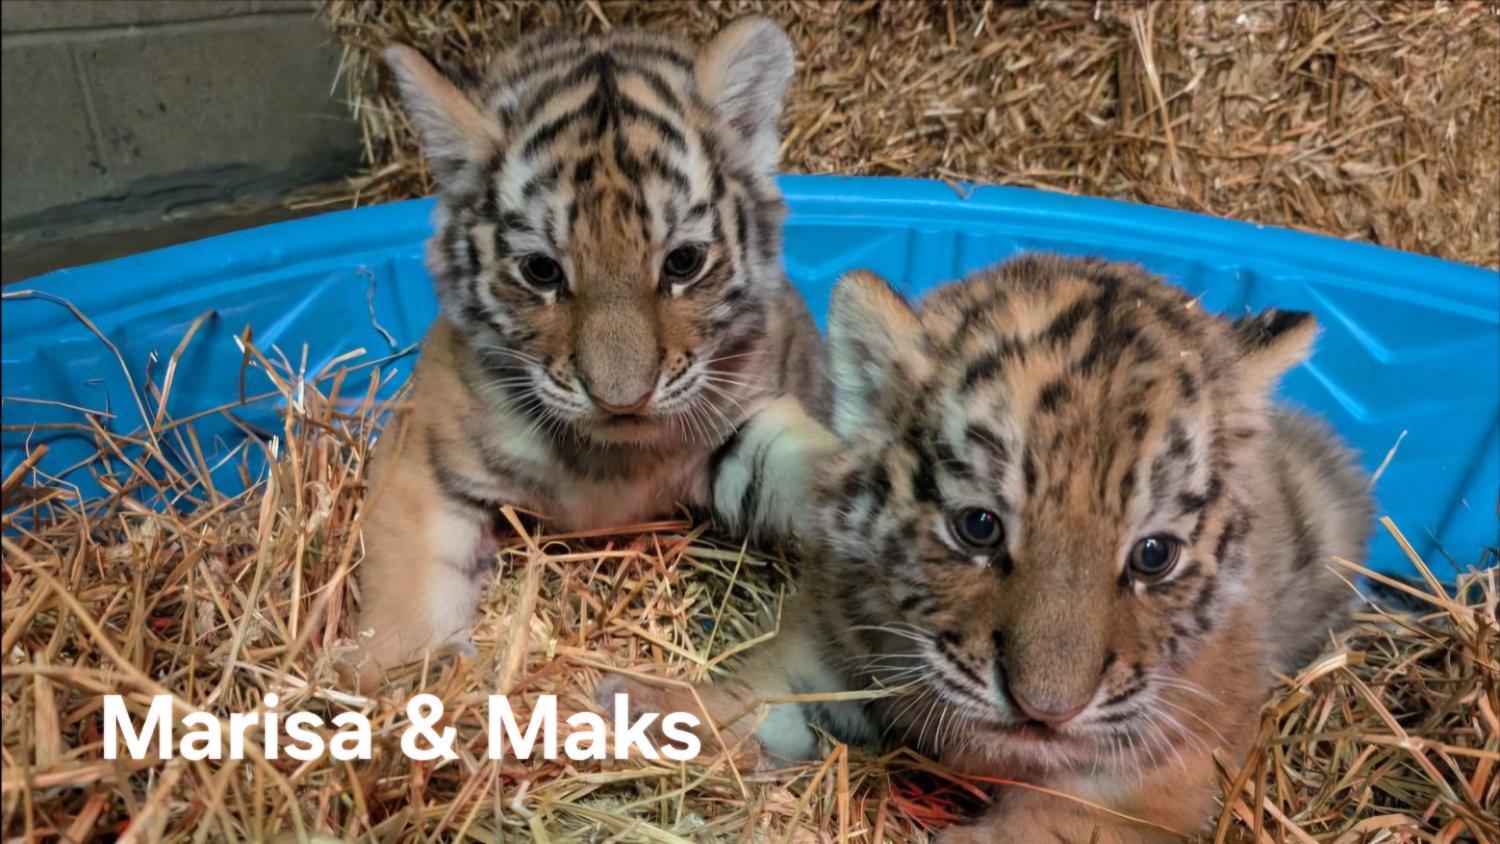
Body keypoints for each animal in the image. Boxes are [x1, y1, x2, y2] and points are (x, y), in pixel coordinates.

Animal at [344, 16, 838, 688]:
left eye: (683, 262)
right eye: (541, 271)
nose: (622, 400)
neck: (616, 458)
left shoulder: (745, 416)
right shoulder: (424, 455)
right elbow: (407, 587)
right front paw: (391, 687)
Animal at [601, 254, 1375, 842]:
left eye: (1154, 555)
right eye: (979, 527)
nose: (1045, 711)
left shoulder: (1153, 780)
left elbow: (1045, 826)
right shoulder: (825, 650)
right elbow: (743, 697)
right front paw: (627, 702)